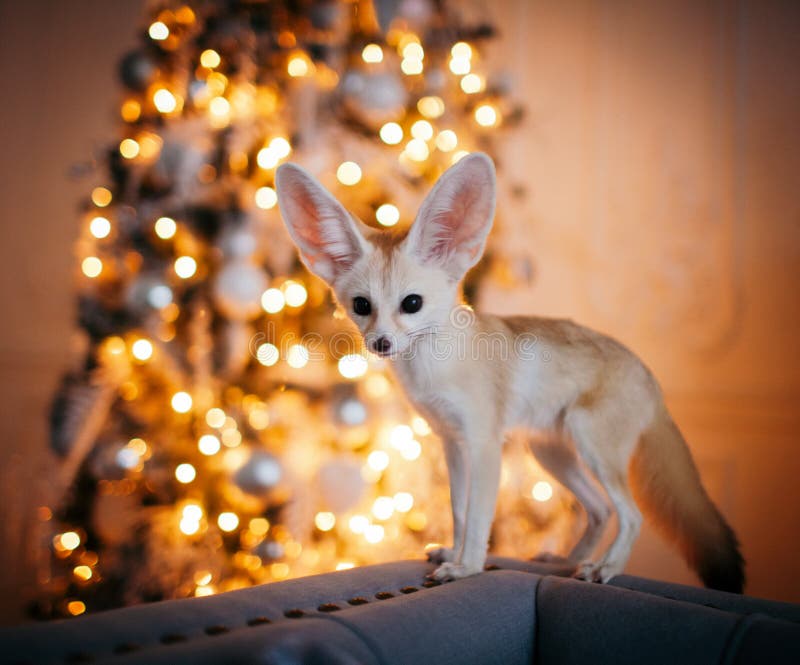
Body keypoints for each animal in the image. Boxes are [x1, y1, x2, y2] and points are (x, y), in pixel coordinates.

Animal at [275, 153, 745, 592]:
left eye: (412, 303)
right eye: (361, 306)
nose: (381, 344)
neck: (434, 369)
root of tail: (650, 376)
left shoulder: (484, 443)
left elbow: (480, 515)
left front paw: (466, 567)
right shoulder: (452, 442)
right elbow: (459, 511)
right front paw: (456, 553)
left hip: (590, 445)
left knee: (630, 514)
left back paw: (604, 568)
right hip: (552, 453)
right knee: (600, 508)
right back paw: (565, 562)